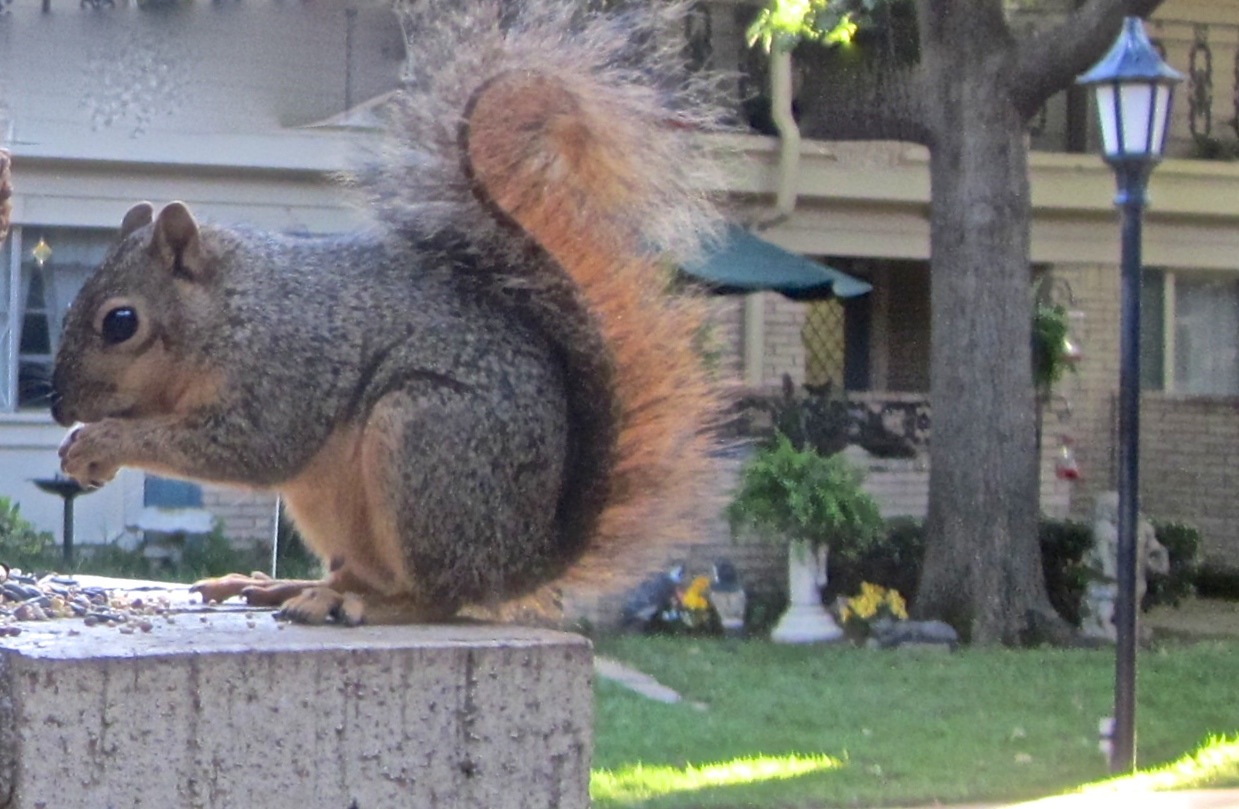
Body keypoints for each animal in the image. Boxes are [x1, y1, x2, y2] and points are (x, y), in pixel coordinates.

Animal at [49, 0, 727, 625]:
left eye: (120, 323)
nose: (57, 408)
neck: (231, 312)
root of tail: (526, 557)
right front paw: (84, 450)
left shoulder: (284, 372)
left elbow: (251, 447)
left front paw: (102, 441)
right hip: (335, 503)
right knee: (363, 571)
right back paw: (288, 587)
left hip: (426, 443)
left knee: (440, 597)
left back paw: (367, 606)